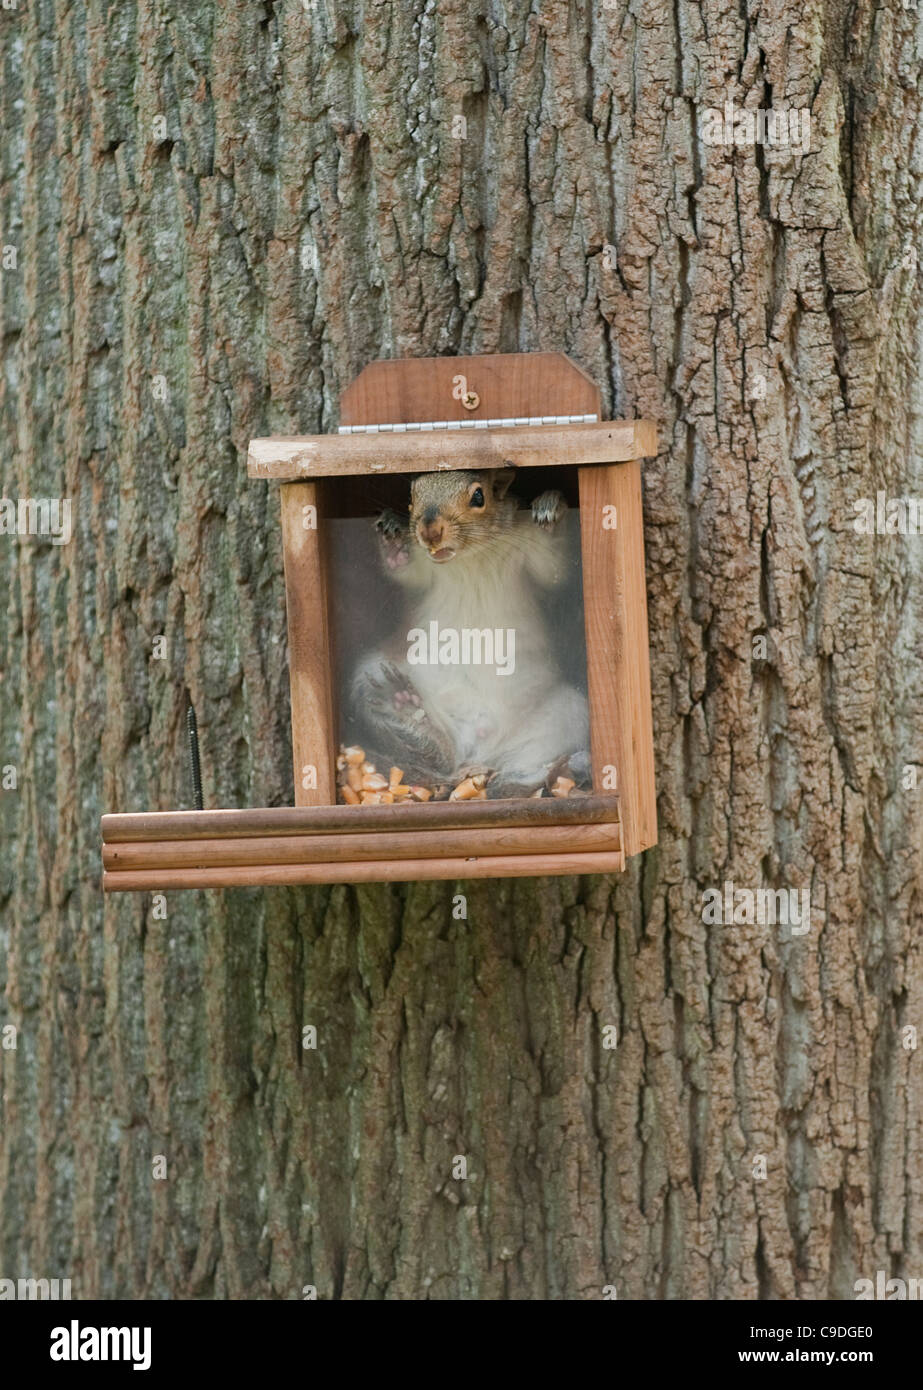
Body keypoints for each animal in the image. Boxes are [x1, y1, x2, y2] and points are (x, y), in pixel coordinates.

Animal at [348, 466, 590, 797]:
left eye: (479, 496)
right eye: (411, 496)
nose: (429, 531)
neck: (469, 556)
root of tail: (478, 749)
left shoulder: (531, 550)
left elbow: (552, 569)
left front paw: (549, 508)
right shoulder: (423, 569)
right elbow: (403, 572)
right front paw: (392, 531)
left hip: (568, 714)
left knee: (524, 765)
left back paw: (526, 778)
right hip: (370, 676)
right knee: (440, 752)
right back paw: (401, 703)